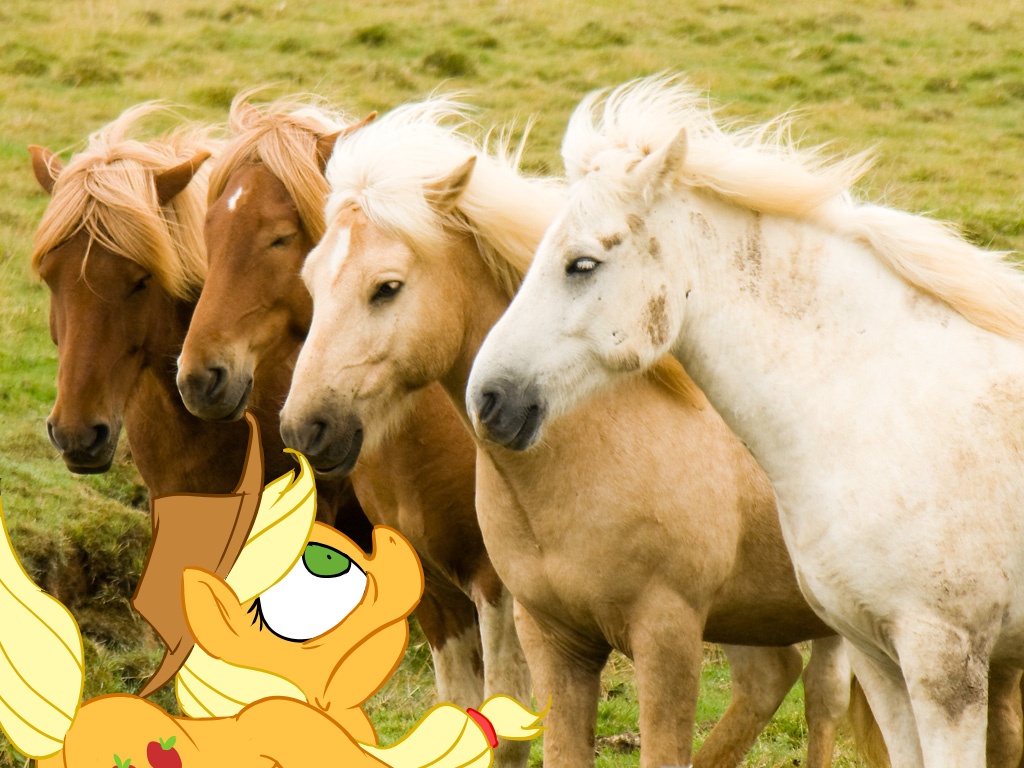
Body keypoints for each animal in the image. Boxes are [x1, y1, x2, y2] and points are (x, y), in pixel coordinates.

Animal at [277, 96, 857, 768]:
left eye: (387, 287)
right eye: (310, 281)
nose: (306, 425)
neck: (590, 450)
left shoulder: (667, 638)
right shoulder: (555, 639)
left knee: (822, 700)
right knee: (770, 680)